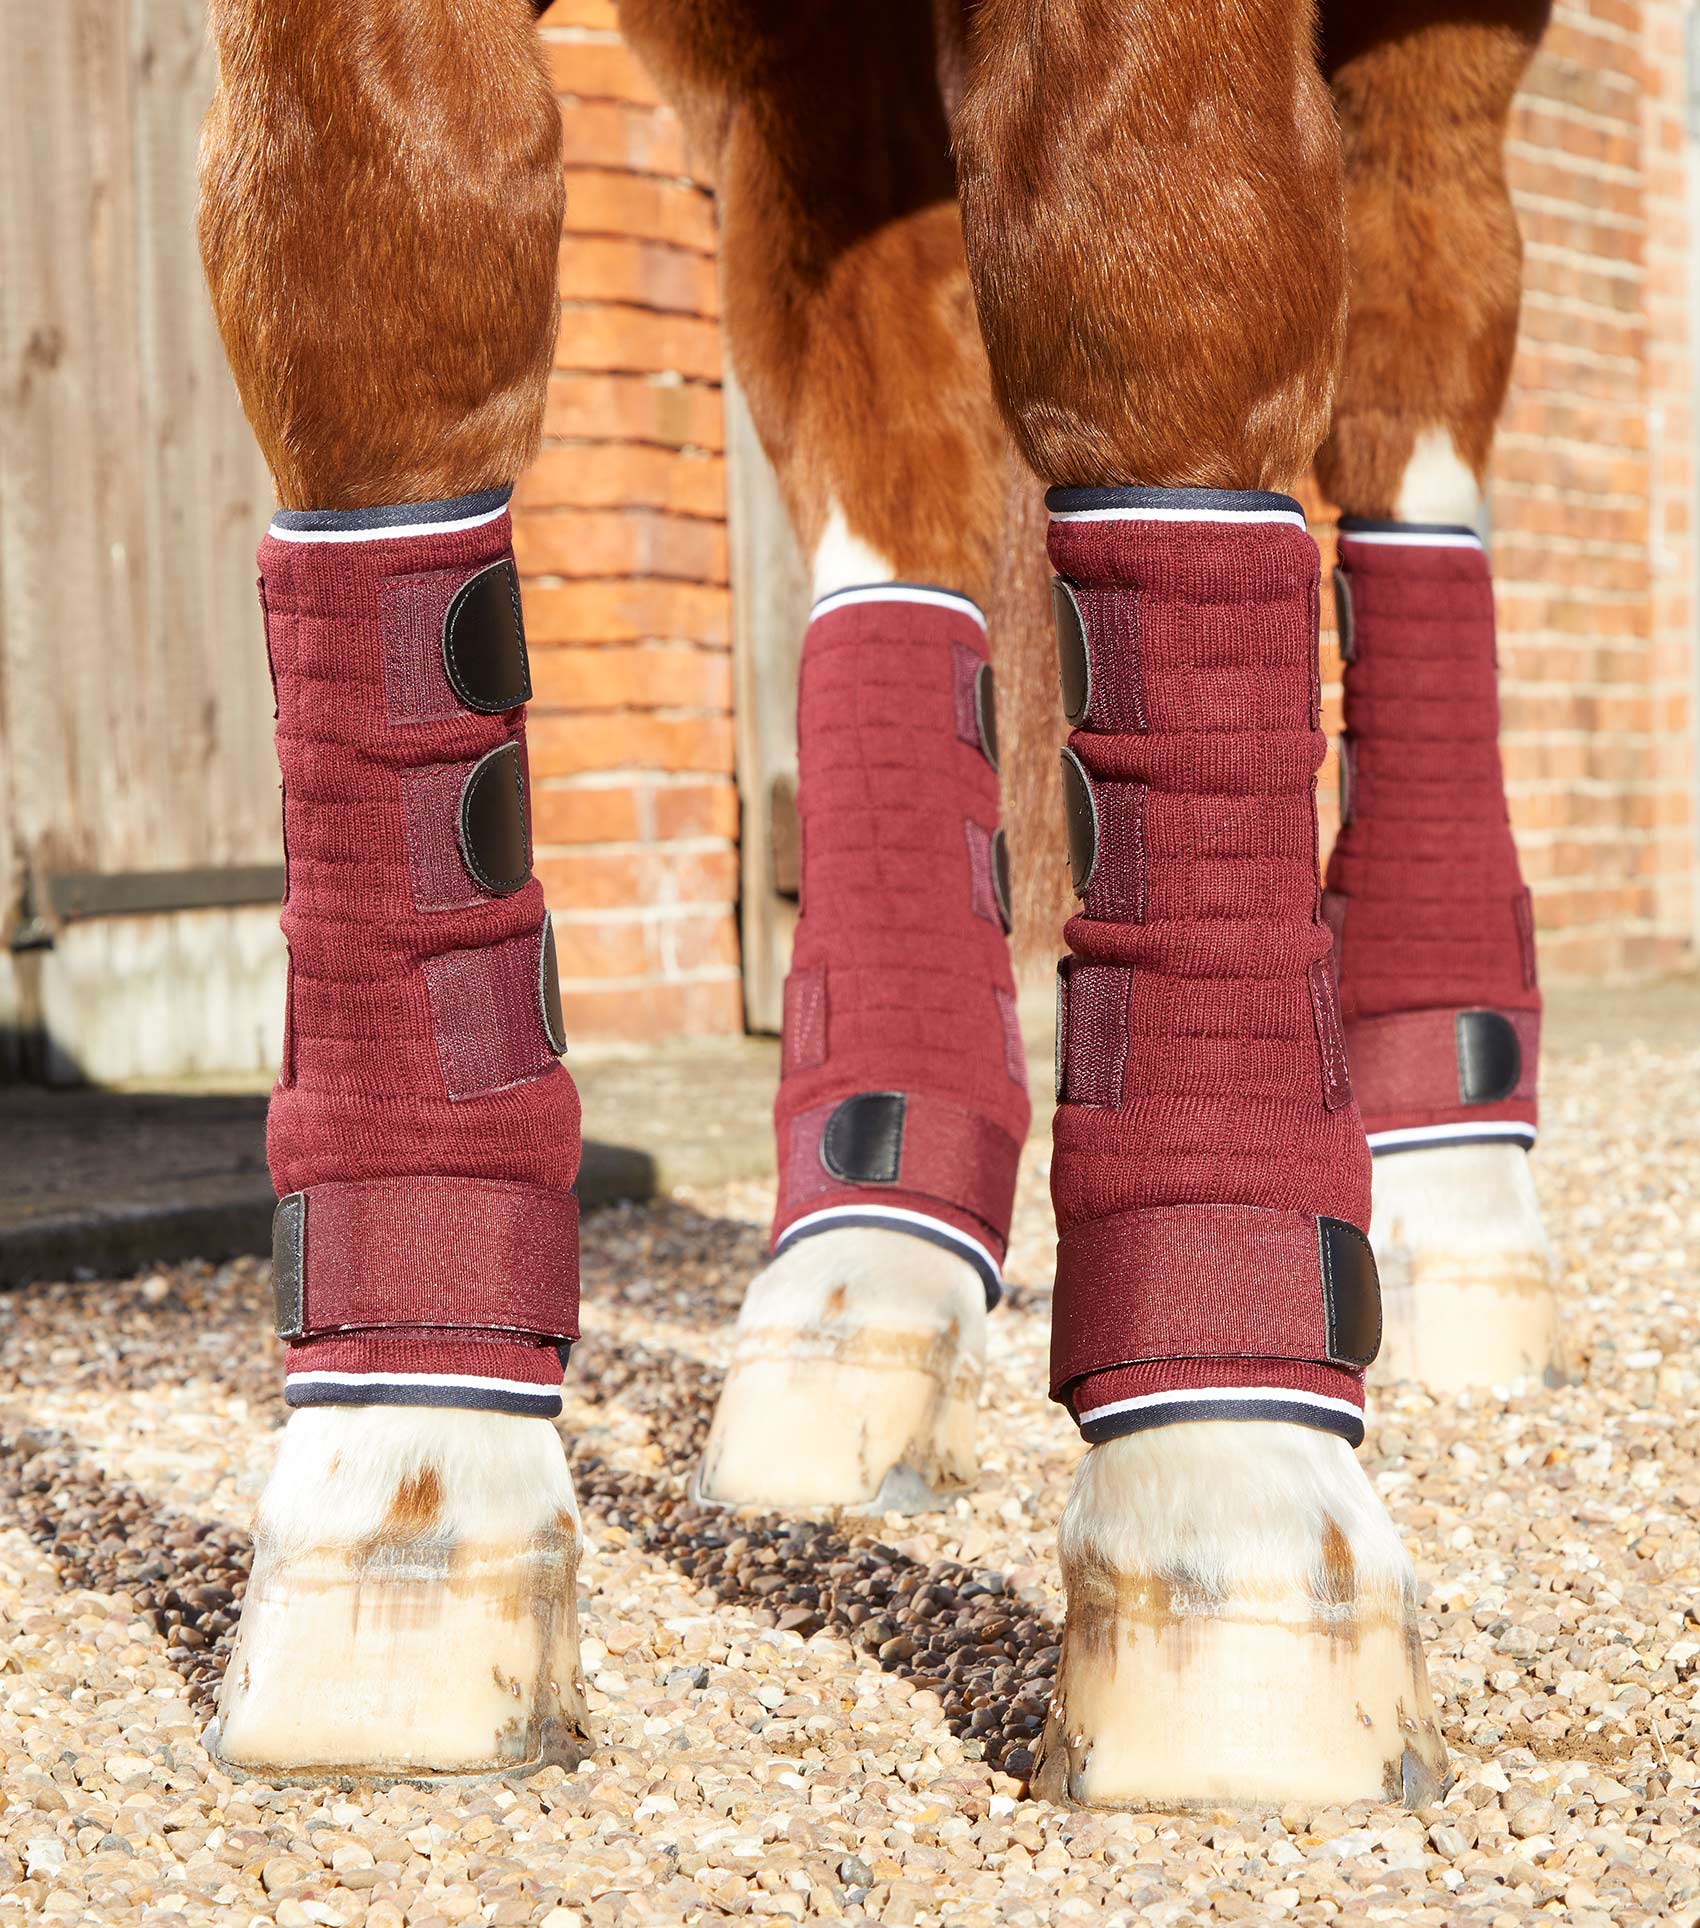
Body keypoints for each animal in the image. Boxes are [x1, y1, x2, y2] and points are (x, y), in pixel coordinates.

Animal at [194, 0, 1554, 1807]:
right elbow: (372, 301)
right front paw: (399, 1496)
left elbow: (1160, 291)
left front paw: (1235, 1524)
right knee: (900, 478)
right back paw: (862, 1273)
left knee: (1418, 376)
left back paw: (1463, 1193)